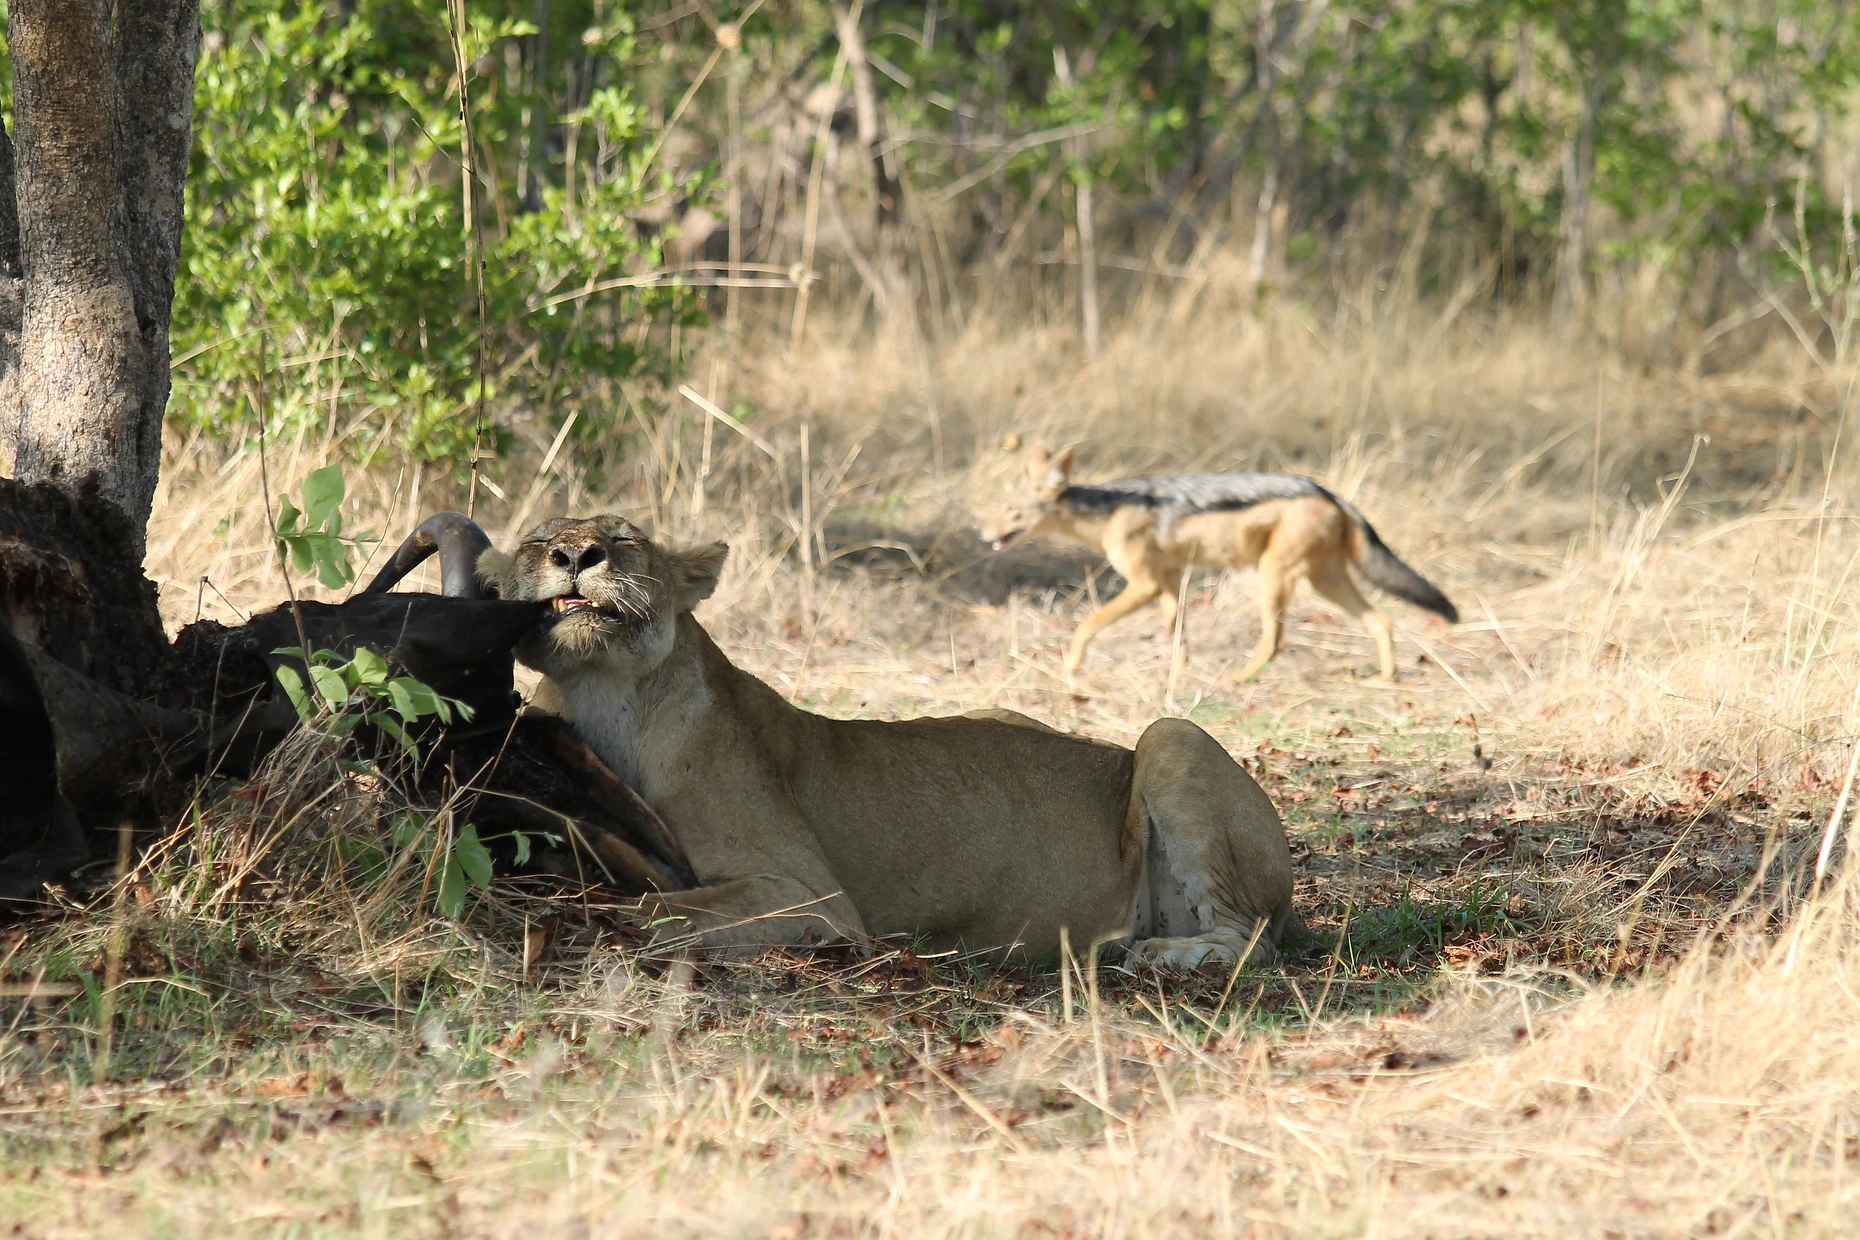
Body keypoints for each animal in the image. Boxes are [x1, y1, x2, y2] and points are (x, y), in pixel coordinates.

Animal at [365, 512, 1300, 967]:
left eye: (623, 538)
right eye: (536, 541)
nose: (574, 555)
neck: (606, 697)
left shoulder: (811, 901)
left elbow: (656, 909)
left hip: (1170, 735)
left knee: (1247, 938)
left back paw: (1161, 952)